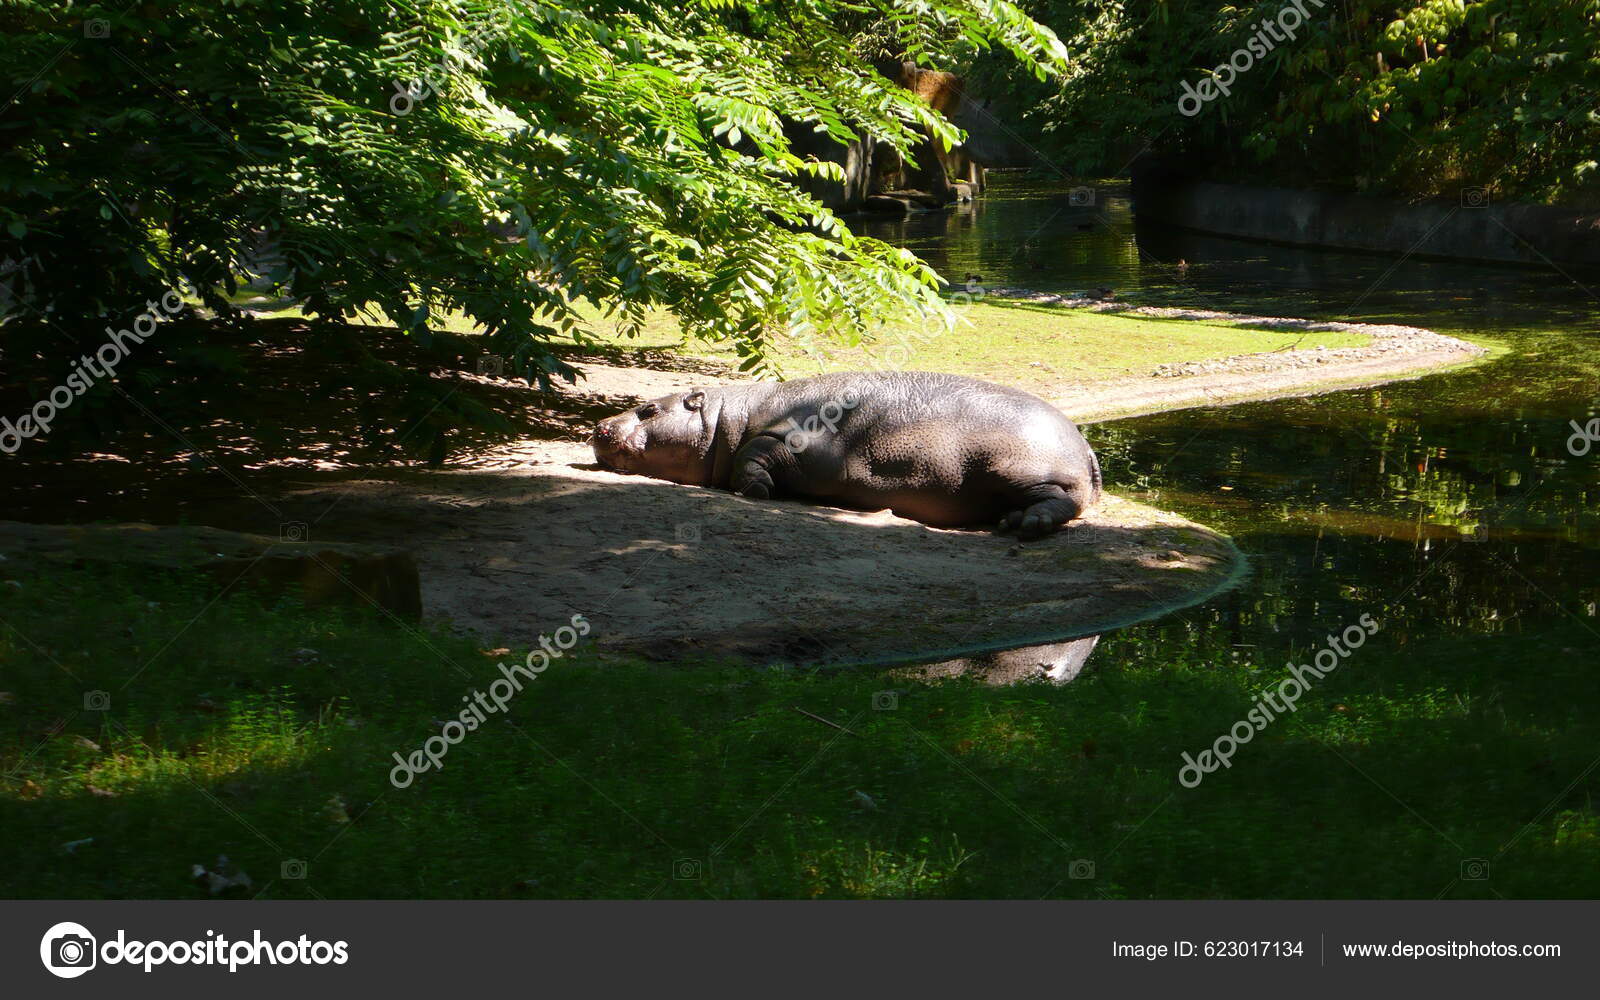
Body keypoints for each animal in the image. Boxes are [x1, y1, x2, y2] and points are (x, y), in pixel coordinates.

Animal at [591, 372, 1101, 538]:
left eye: (648, 409)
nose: (599, 426)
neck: (726, 419)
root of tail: (1086, 445)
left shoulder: (786, 438)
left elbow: (751, 454)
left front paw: (758, 491)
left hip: (1014, 468)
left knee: (1061, 500)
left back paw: (1022, 525)